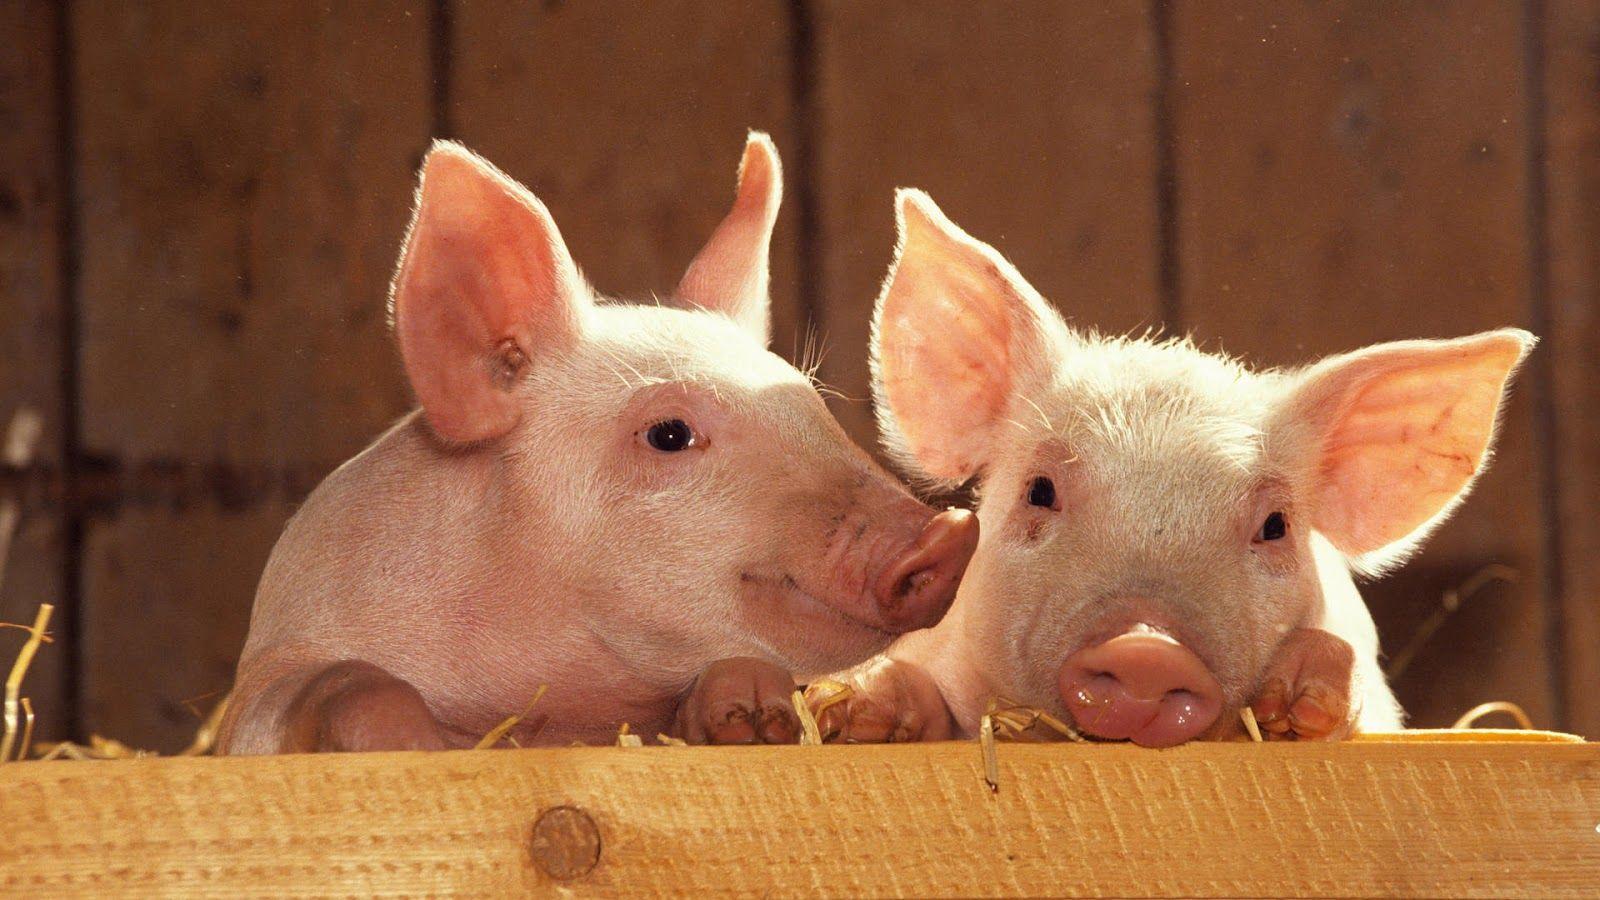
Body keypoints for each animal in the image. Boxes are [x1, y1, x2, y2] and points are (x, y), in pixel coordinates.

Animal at [216, 136, 977, 754]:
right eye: (669, 434)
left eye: (810, 404)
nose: (947, 532)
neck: (552, 701)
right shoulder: (272, 670)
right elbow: (341, 685)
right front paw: (419, 748)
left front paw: (761, 711)